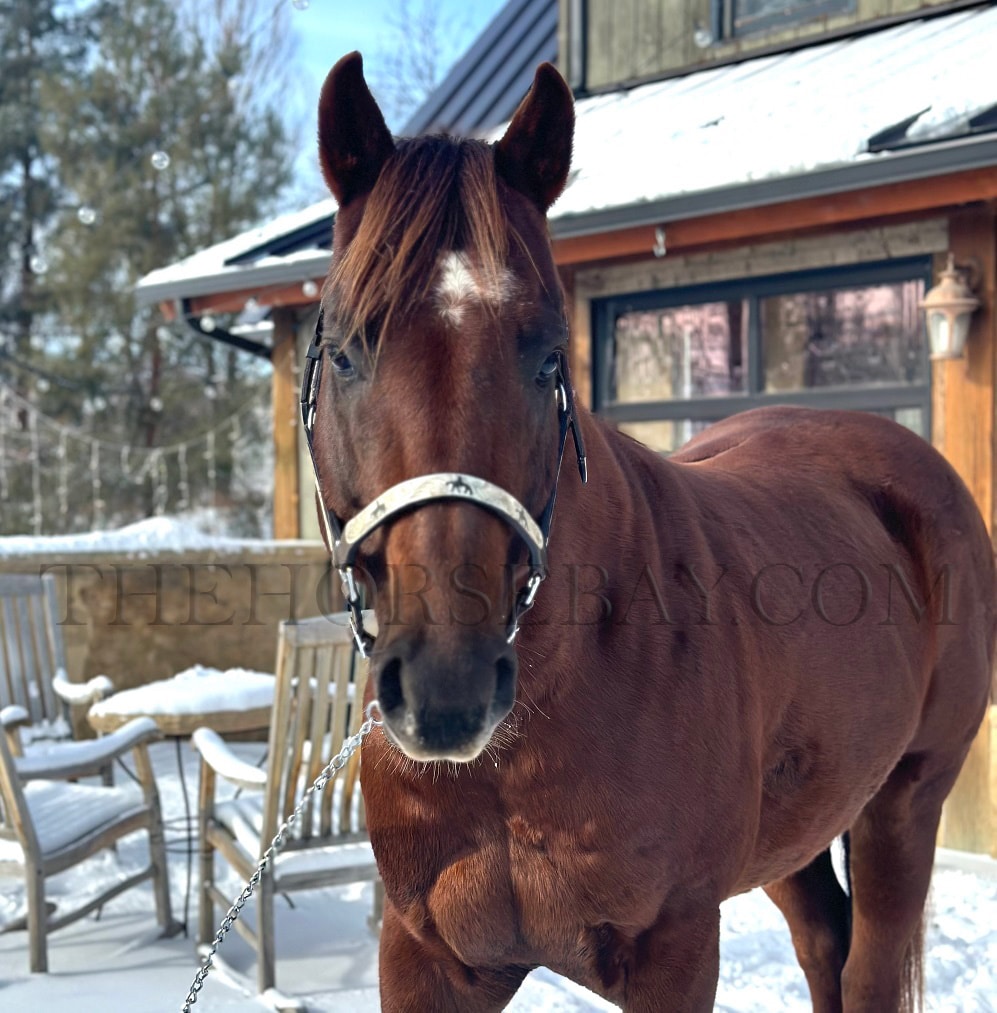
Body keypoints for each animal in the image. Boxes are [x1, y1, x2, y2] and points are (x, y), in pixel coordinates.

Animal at [304, 52, 995, 1012]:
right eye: (342, 350)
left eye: (547, 356)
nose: (448, 685)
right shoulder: (424, 955)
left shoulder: (675, 948)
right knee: (824, 940)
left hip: (905, 800)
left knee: (866, 966)